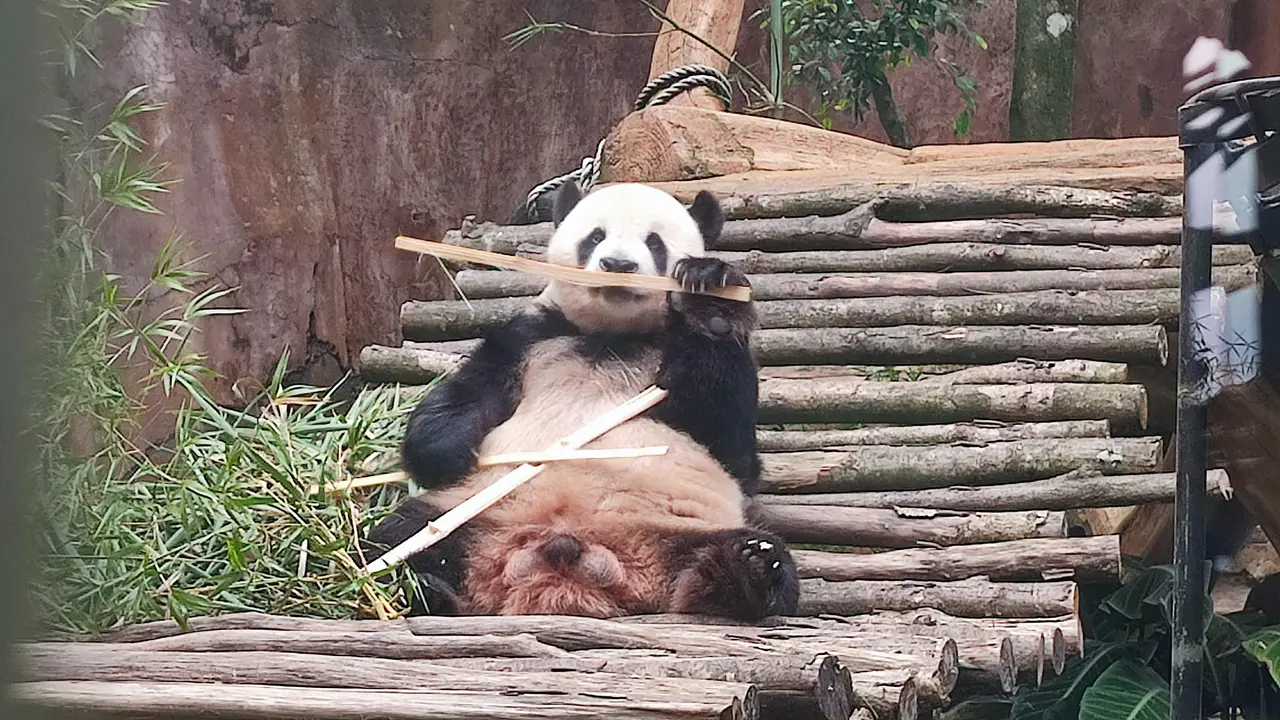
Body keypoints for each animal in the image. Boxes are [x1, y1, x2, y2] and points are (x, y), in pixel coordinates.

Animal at [363, 181, 800, 621]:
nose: (617, 263)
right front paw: (450, 451)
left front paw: (710, 293)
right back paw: (422, 587)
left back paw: (745, 568)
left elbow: (733, 446)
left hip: (683, 526)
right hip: (465, 514)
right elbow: (463, 395)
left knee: (765, 555)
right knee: (397, 535)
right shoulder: (529, 340)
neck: (612, 337)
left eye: (655, 242)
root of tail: (570, 563)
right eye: (594, 236)